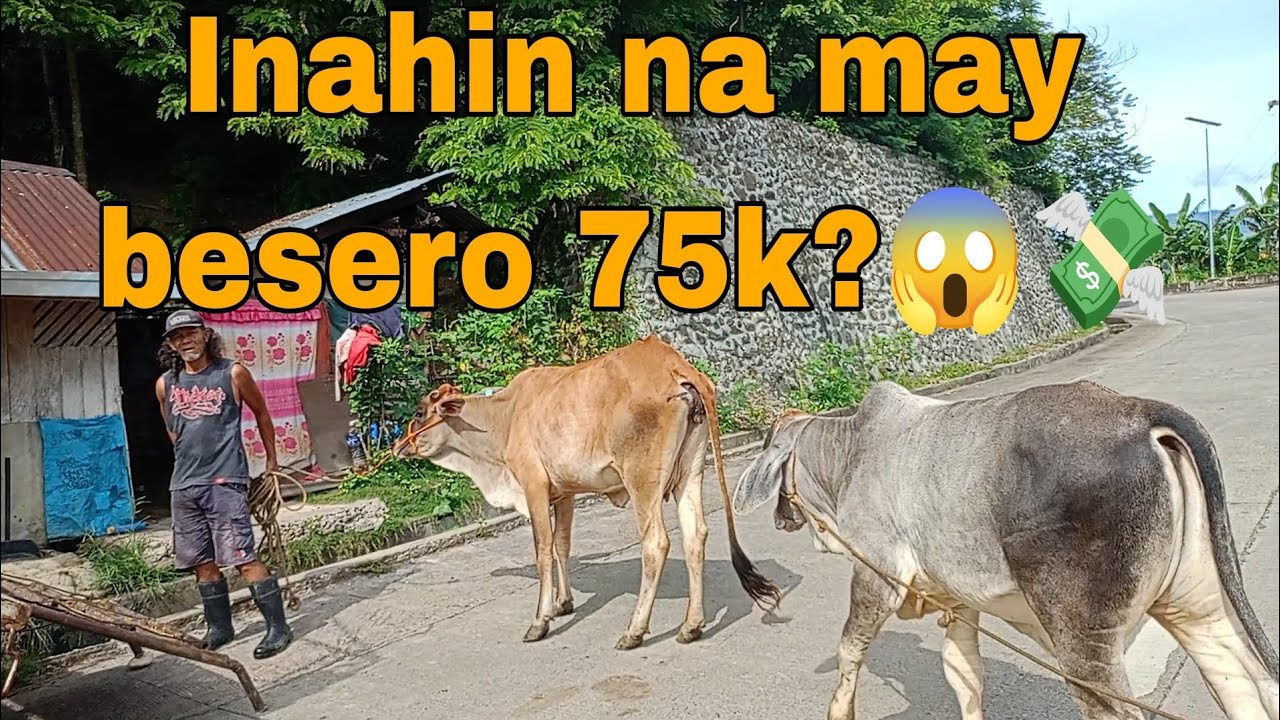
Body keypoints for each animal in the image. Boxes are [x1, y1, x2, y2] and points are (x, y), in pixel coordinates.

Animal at [396, 334, 782, 650]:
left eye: (419, 412)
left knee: (656, 542)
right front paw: (563, 604)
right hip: (690, 473)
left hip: (642, 480)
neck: (504, 419)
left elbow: (544, 550)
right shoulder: (564, 493)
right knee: (695, 535)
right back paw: (691, 626)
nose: (399, 446)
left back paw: (634, 632)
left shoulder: (534, 487)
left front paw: (540, 621)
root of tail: (674, 365)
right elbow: (563, 546)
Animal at [730, 379, 1279, 720]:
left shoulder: (877, 574)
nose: (781, 517)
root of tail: (1138, 413)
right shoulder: (958, 603)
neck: (848, 454)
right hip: (1197, 607)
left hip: (1085, 639)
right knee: (1247, 681)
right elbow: (965, 676)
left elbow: (849, 651)